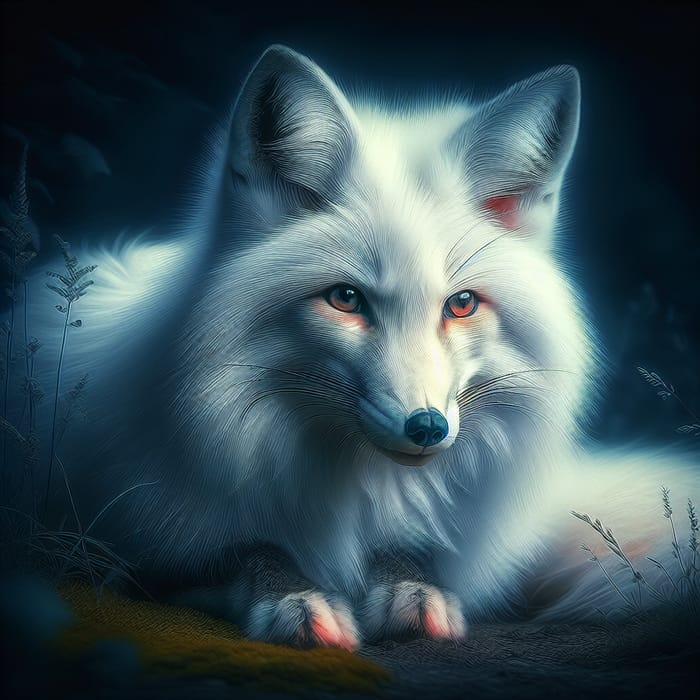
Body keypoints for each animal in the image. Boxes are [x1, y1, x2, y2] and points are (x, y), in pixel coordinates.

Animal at [14, 44, 698, 651]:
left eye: (462, 305)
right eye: (345, 298)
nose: (426, 427)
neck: (346, 486)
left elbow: (404, 552)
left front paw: (410, 589)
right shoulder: (119, 541)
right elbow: (245, 549)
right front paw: (296, 599)